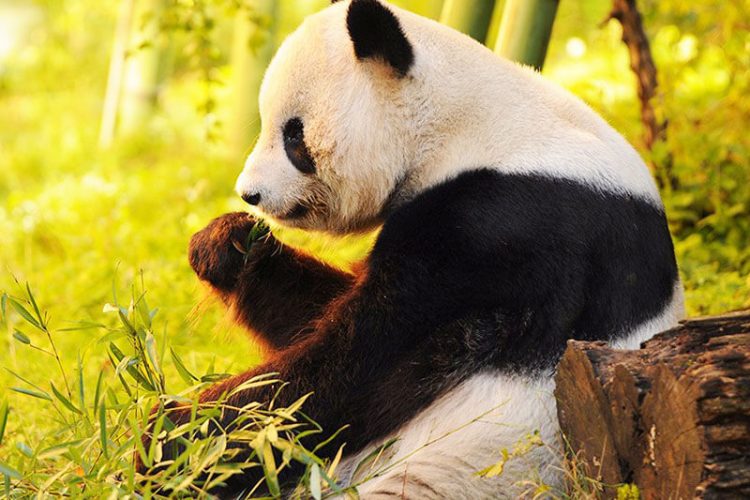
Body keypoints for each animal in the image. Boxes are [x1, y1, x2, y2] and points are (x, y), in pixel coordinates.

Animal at [156, 0, 685, 497]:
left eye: (294, 136)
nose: (250, 193)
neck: (465, 124)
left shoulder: (503, 226)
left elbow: (358, 371)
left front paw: (170, 437)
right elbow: (317, 318)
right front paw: (226, 246)